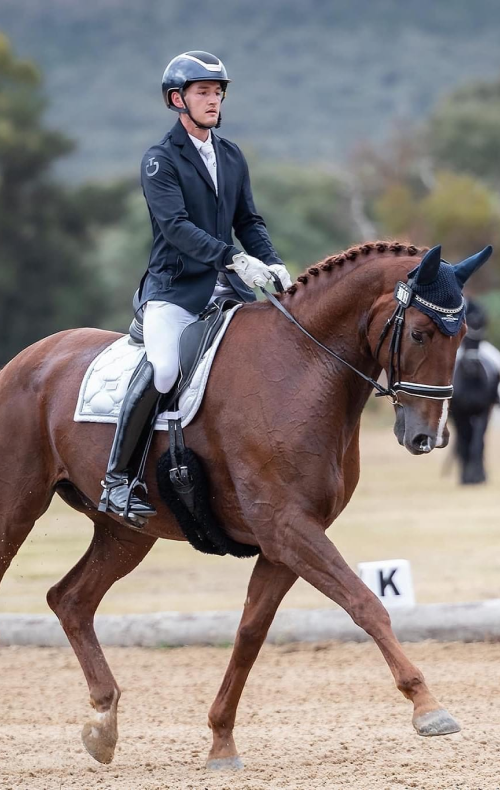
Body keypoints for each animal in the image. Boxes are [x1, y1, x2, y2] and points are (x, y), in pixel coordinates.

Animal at [0, 240, 490, 771]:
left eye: (463, 335)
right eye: (420, 334)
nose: (427, 437)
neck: (302, 366)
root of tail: (26, 359)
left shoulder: (284, 540)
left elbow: (250, 633)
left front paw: (221, 742)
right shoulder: (287, 527)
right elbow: (366, 604)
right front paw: (428, 707)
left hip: (125, 533)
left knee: (70, 600)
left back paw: (104, 725)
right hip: (16, 508)